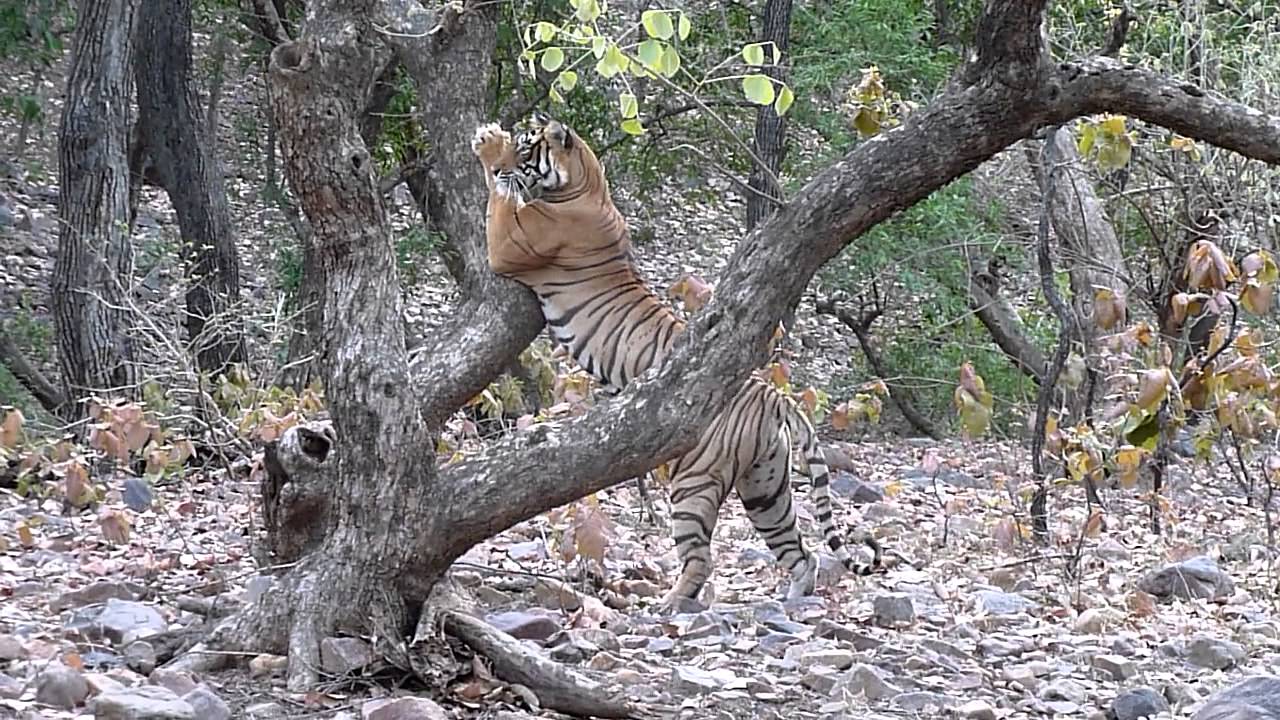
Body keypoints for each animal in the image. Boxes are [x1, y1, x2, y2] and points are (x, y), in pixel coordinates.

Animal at [471, 111, 883, 609]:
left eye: (526, 147)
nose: (508, 151)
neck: (588, 180)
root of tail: (775, 397)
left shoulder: (510, 241)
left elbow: (496, 196)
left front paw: (488, 145)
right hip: (766, 487)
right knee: (801, 551)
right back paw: (791, 603)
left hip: (695, 482)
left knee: (702, 559)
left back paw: (669, 604)